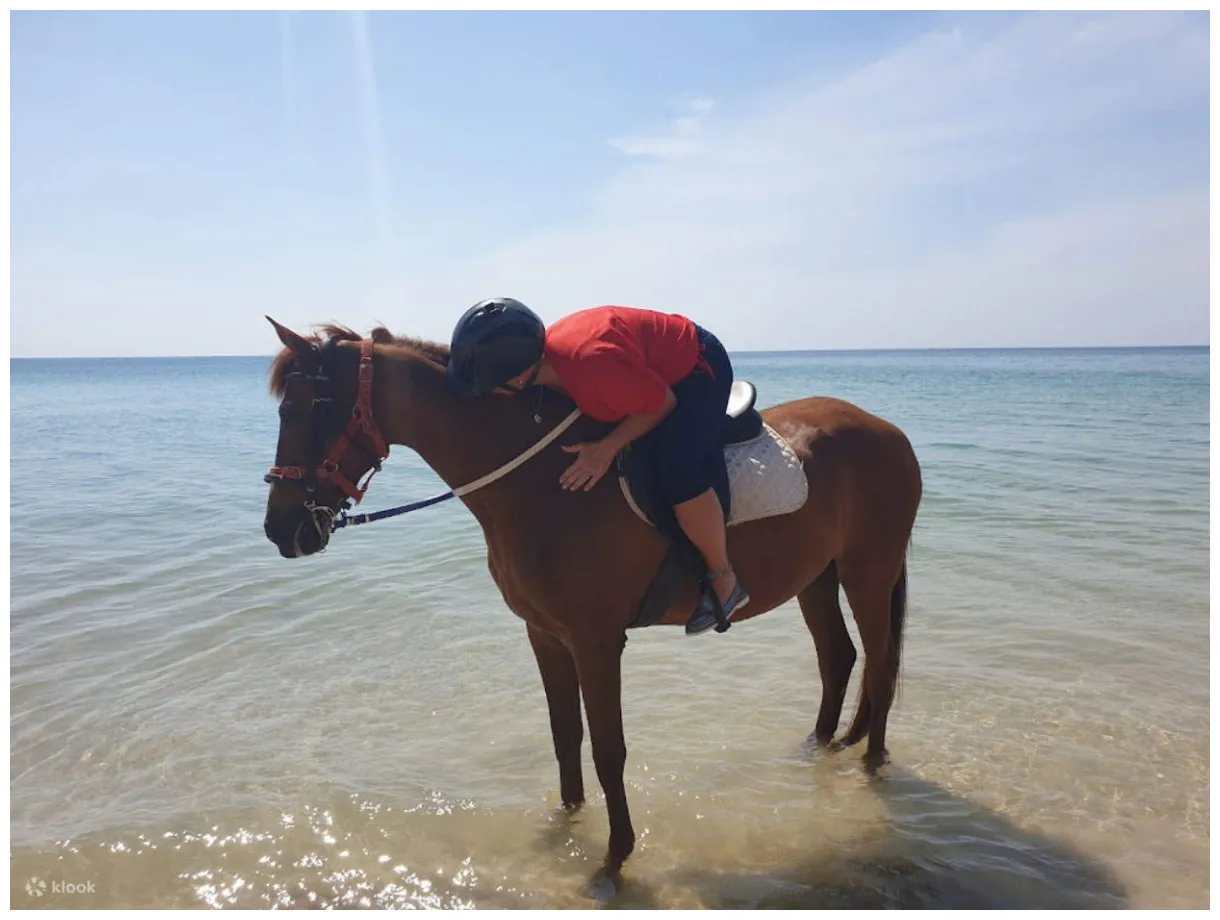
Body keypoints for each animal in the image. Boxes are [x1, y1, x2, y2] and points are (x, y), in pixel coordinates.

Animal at [261, 317, 923, 879]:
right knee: (840, 658)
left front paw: (614, 858)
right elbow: (565, 736)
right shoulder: (546, 635)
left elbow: (609, 749)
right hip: (818, 577)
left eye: (302, 408)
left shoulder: (597, 642)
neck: (538, 481)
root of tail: (887, 430)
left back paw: (870, 767)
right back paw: (820, 748)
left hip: (868, 571)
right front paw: (566, 823)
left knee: (881, 663)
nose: (281, 530)